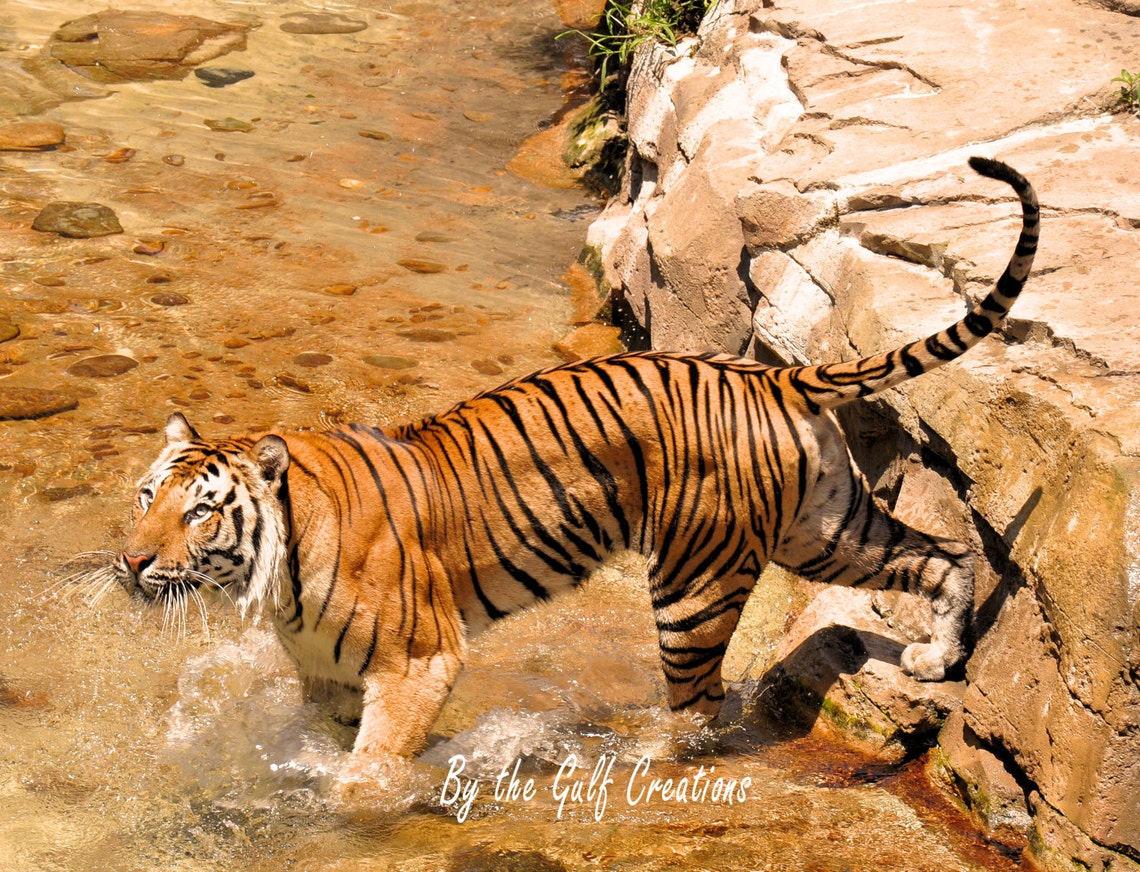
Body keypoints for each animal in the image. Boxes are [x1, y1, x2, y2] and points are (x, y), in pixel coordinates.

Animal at [114, 157, 1038, 764]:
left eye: (200, 510)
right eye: (144, 496)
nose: (128, 563)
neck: (276, 578)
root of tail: (769, 370)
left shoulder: (417, 663)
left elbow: (369, 778)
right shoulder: (328, 681)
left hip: (694, 584)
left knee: (700, 705)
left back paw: (637, 758)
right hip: (824, 529)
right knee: (944, 552)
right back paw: (936, 656)